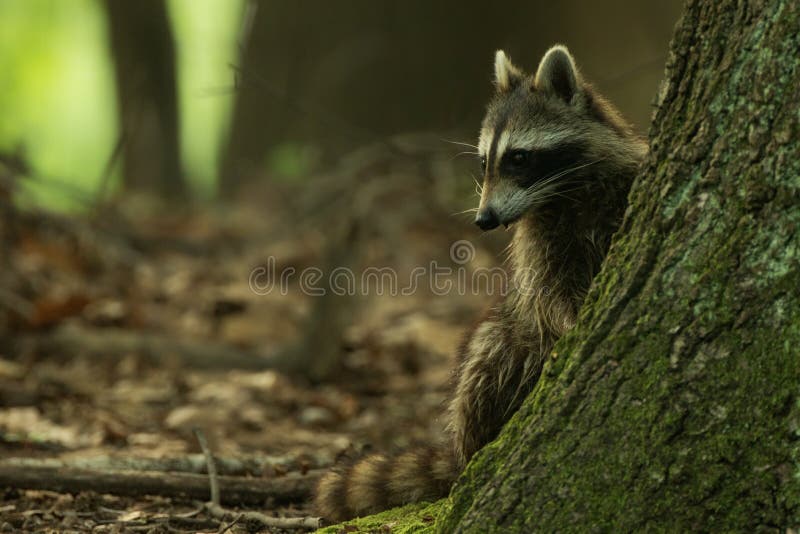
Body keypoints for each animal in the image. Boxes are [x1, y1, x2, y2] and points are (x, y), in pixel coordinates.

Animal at [315, 45, 647, 522]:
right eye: (483, 161)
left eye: (519, 158)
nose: (483, 219)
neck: (565, 193)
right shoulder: (540, 241)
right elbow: (549, 295)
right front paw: (572, 323)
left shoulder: (621, 183)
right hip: (500, 345)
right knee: (489, 353)